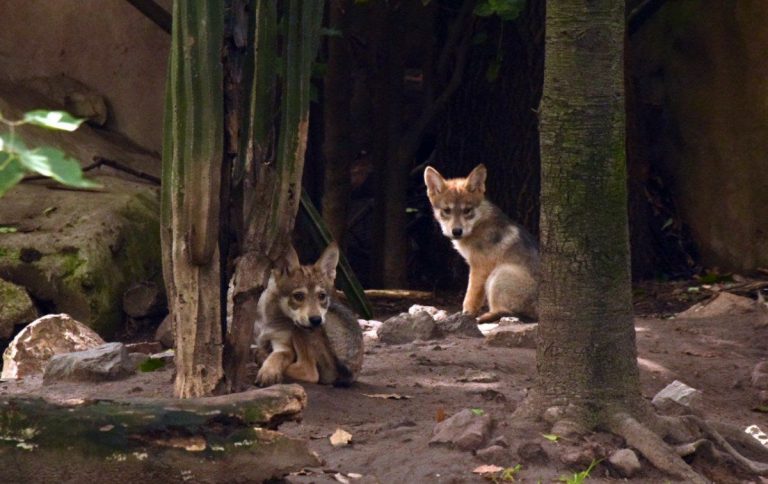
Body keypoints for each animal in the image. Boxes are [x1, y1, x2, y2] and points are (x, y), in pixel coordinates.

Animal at [254, 243, 363, 387]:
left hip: (300, 329)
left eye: (322, 296)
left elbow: (276, 357)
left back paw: (261, 356)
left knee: (310, 373)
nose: (316, 320)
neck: (269, 316)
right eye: (298, 296)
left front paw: (268, 372)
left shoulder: (283, 346)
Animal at [423, 164, 539, 323]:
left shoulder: (479, 268)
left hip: (499, 273)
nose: (457, 231)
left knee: (504, 312)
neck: (478, 224)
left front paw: (466, 315)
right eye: (447, 210)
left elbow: (469, 299)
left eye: (467, 210)